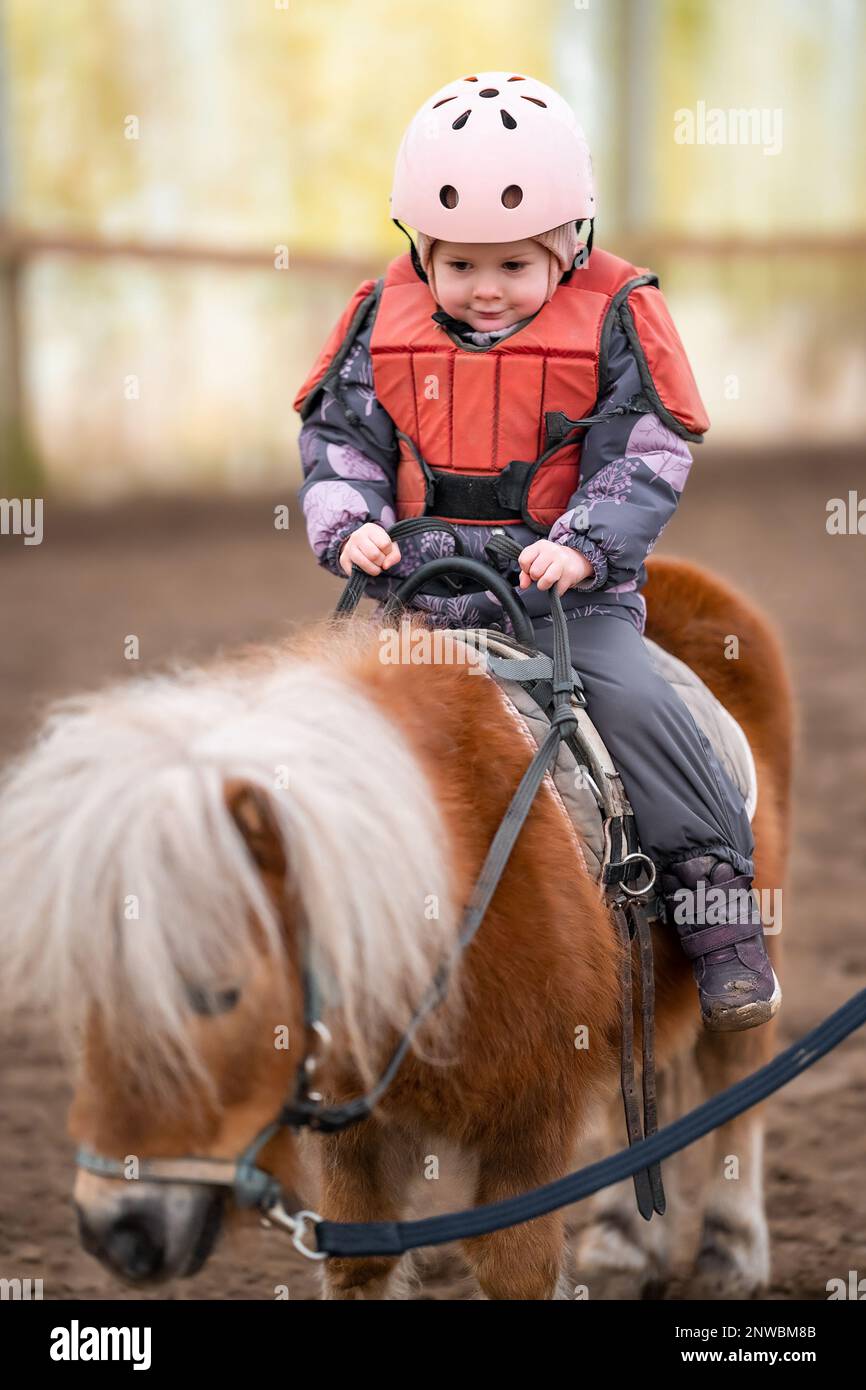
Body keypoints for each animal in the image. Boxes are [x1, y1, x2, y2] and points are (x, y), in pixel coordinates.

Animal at [0, 555, 793, 1299]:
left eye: (219, 993)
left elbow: (516, 1268)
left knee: (737, 1081)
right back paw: (624, 1248)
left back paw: (730, 1253)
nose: (114, 1231)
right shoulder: (358, 1131)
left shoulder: (533, 1113)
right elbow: (361, 1262)